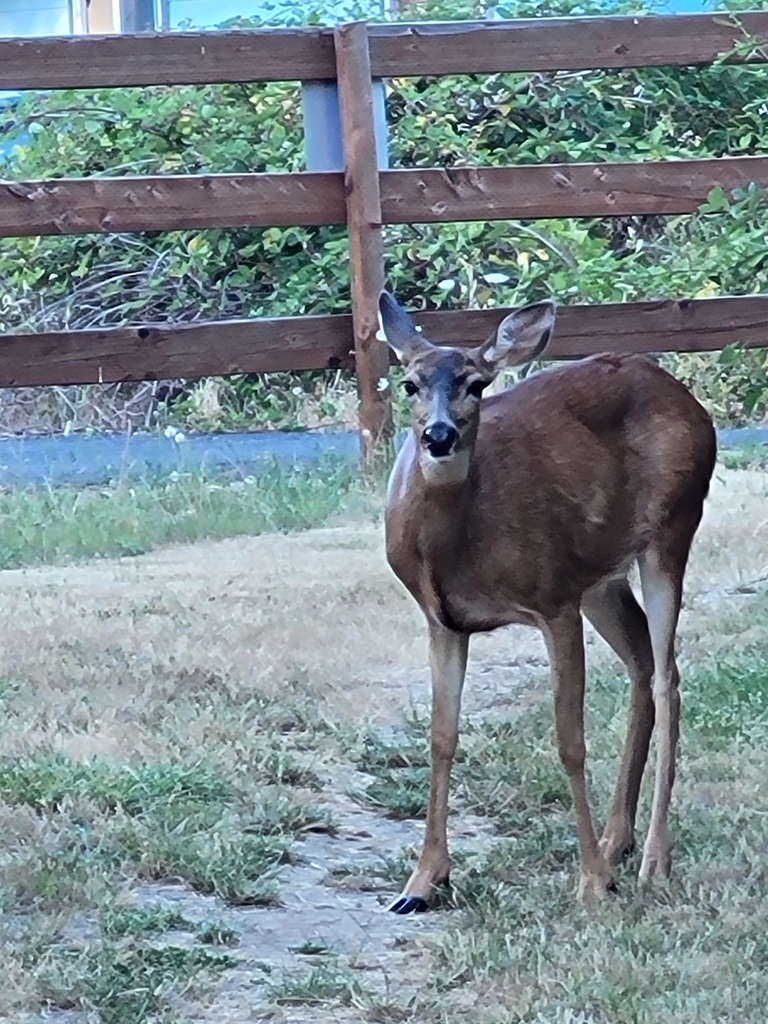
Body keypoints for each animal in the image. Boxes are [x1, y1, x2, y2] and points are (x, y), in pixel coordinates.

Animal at [378, 290, 716, 915]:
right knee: (642, 663)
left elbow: (570, 741)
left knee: (667, 677)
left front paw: (592, 884)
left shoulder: (553, 599)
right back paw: (616, 839)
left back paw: (652, 860)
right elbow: (441, 737)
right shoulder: (443, 621)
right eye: (410, 383)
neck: (457, 548)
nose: (439, 435)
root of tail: (686, 396)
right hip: (601, 578)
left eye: (476, 384)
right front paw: (422, 882)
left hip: (671, 529)